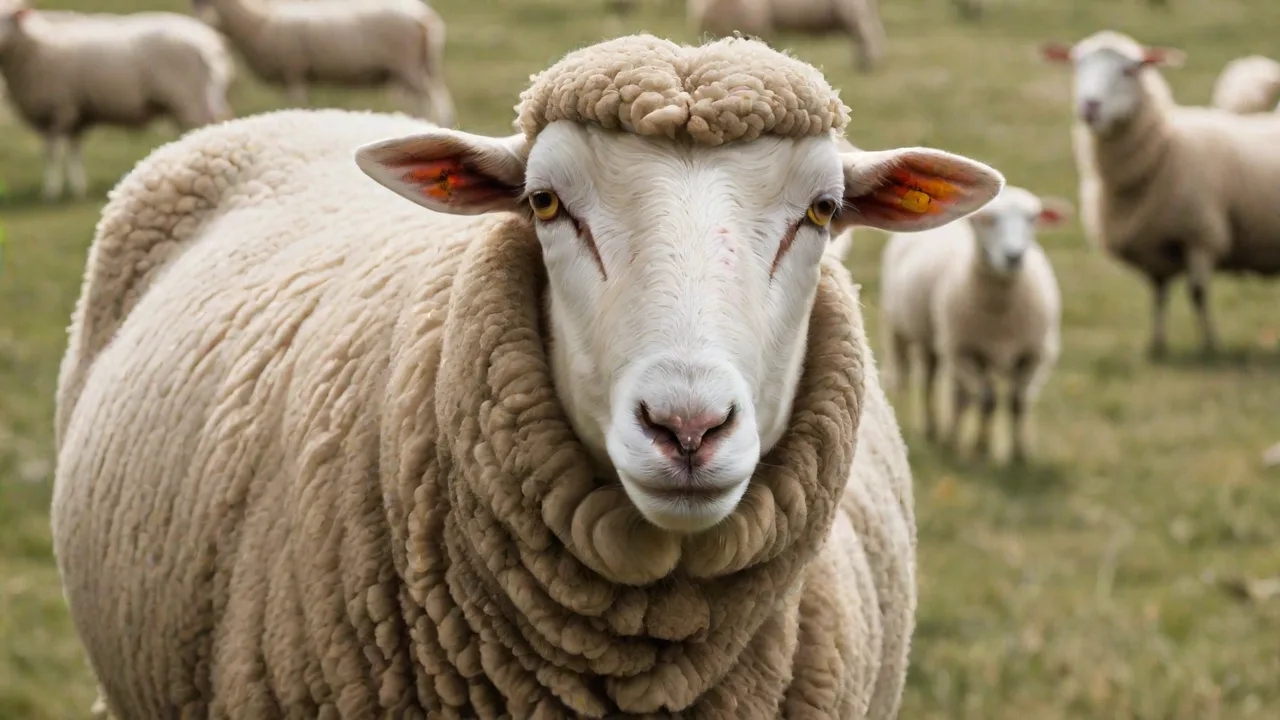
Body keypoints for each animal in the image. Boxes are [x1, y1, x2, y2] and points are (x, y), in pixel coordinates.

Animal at [0, 2, 234, 201]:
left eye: (5, 17)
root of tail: (211, 42)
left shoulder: (59, 108)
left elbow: (53, 154)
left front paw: (51, 191)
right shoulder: (75, 114)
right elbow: (75, 151)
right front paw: (78, 188)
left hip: (191, 101)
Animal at [191, 0, 457, 127]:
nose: (201, 18)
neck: (259, 21)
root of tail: (424, 16)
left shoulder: (294, 69)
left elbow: (296, 101)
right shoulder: (300, 73)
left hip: (407, 64)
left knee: (431, 97)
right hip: (421, 65)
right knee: (432, 95)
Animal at [864, 185, 1071, 463]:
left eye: (1032, 218)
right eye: (987, 219)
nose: (1013, 257)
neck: (1002, 309)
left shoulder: (1033, 355)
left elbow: (1017, 402)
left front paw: (1019, 454)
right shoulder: (964, 351)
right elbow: (988, 401)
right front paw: (980, 448)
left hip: (939, 340)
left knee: (944, 387)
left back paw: (945, 433)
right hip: (900, 327)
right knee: (914, 376)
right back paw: (928, 427)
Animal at [1040, 31, 1280, 359]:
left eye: (1130, 69)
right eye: (1077, 64)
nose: (1090, 106)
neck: (1165, 147)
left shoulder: (1200, 235)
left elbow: (1198, 293)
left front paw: (1210, 346)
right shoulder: (1153, 245)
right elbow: (1158, 295)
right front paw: (1157, 346)